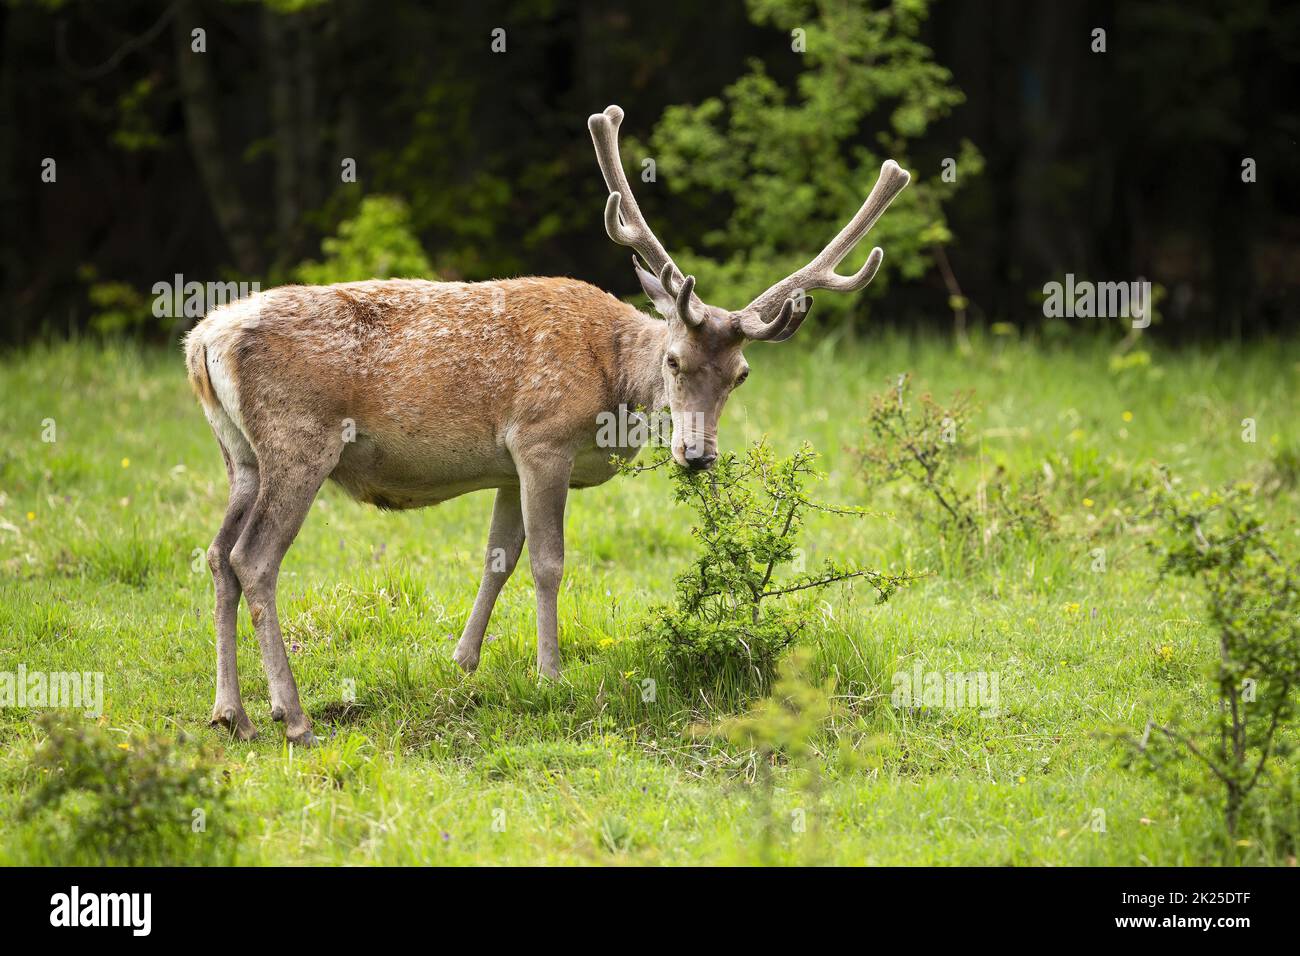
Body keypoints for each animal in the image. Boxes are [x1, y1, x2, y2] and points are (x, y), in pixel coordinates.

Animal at [183, 105, 910, 745]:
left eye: (742, 374)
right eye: (673, 361)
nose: (697, 455)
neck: (612, 384)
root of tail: (201, 341)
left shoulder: (506, 464)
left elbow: (499, 558)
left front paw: (463, 660)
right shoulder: (541, 440)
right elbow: (549, 562)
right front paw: (550, 673)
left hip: (240, 455)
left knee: (218, 555)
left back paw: (230, 714)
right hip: (298, 441)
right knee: (254, 558)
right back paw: (292, 716)